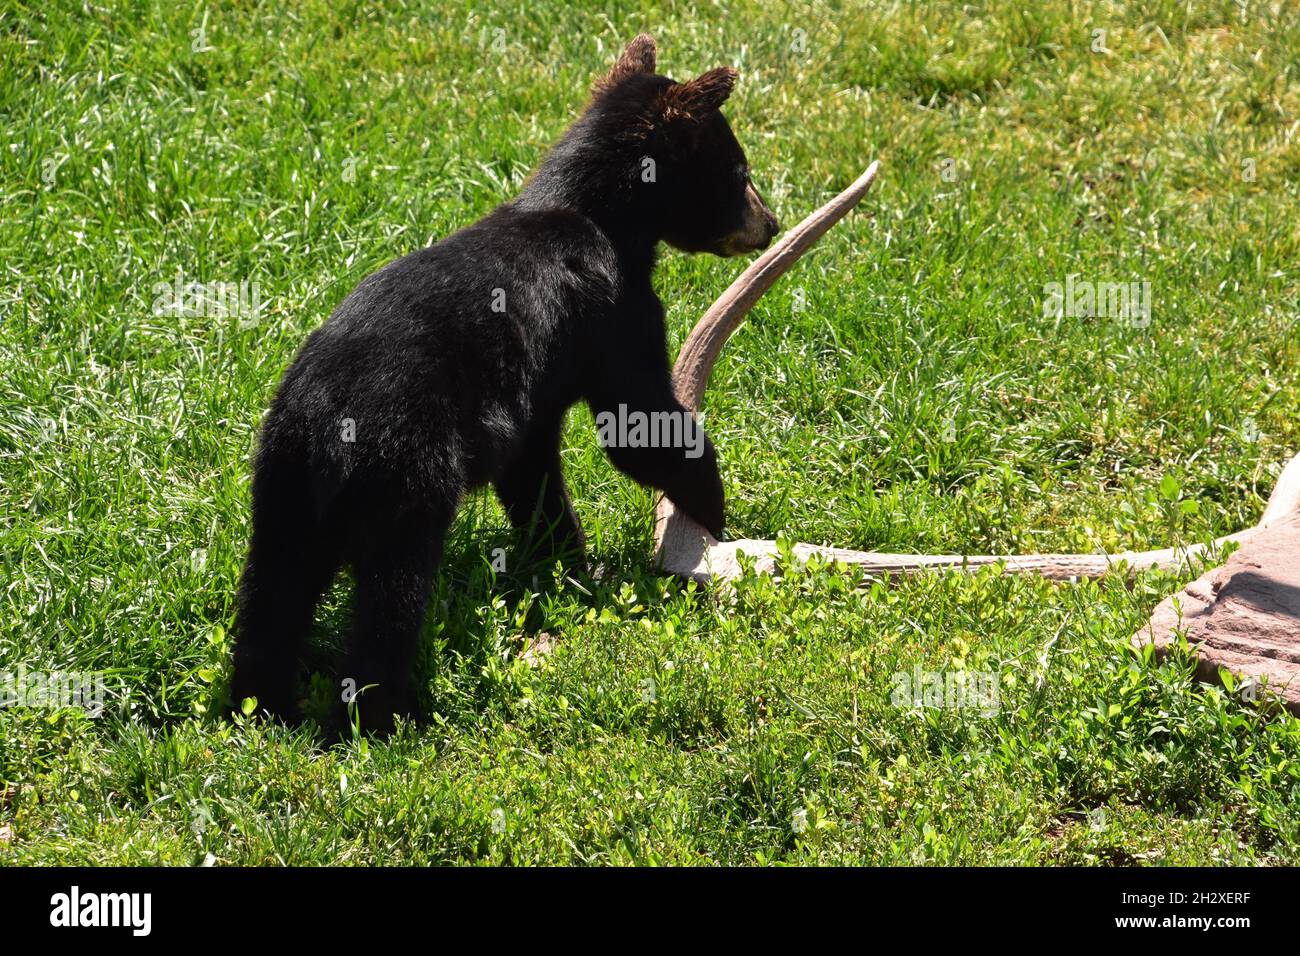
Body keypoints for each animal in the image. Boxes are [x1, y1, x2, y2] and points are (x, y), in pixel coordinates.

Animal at [229, 34, 780, 732]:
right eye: (739, 171)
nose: (771, 222)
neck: (595, 212)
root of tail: (327, 428)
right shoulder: (615, 311)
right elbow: (637, 421)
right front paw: (712, 511)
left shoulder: (530, 399)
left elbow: (534, 476)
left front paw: (568, 563)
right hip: (405, 474)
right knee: (390, 598)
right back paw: (388, 715)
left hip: (282, 484)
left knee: (273, 589)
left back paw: (258, 705)